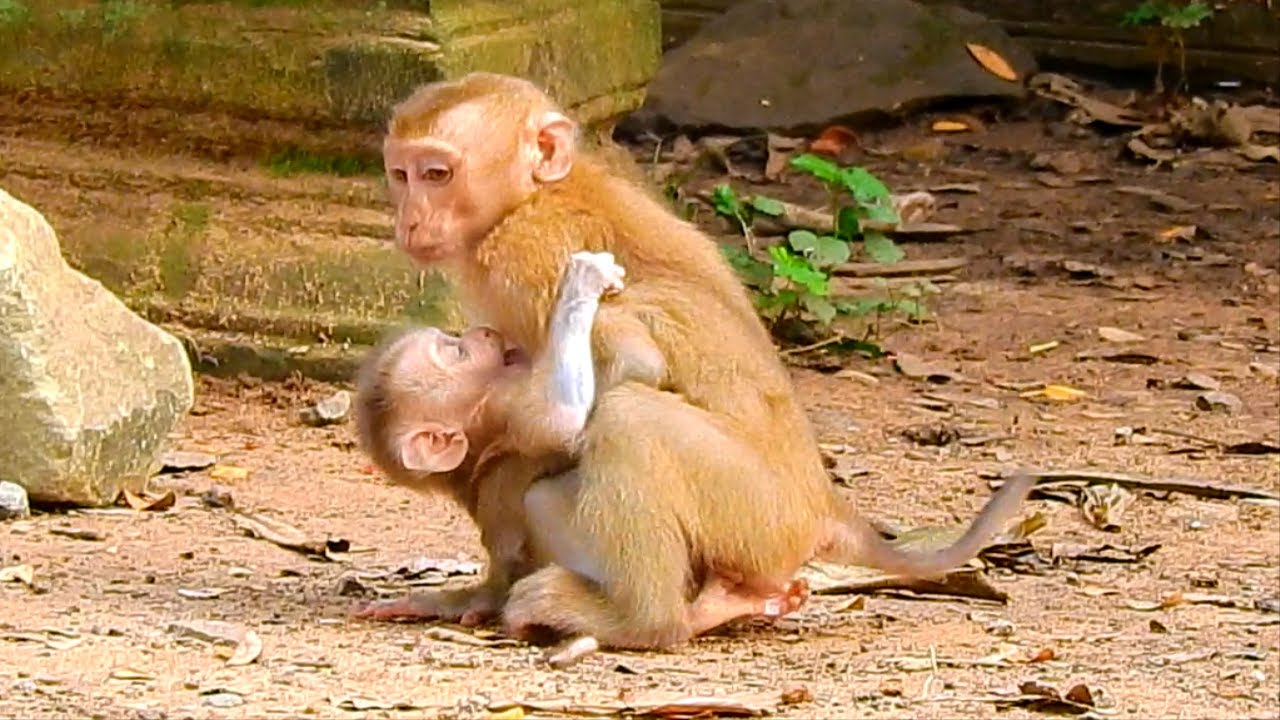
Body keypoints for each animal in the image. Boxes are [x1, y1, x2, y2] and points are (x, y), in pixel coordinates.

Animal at [378, 73, 1036, 653]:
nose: (408, 219)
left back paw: (640, 620)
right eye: (400, 175)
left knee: (630, 418)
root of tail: (824, 507)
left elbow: (628, 372)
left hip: (754, 514)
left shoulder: (528, 253)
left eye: (437, 174)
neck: (534, 196)